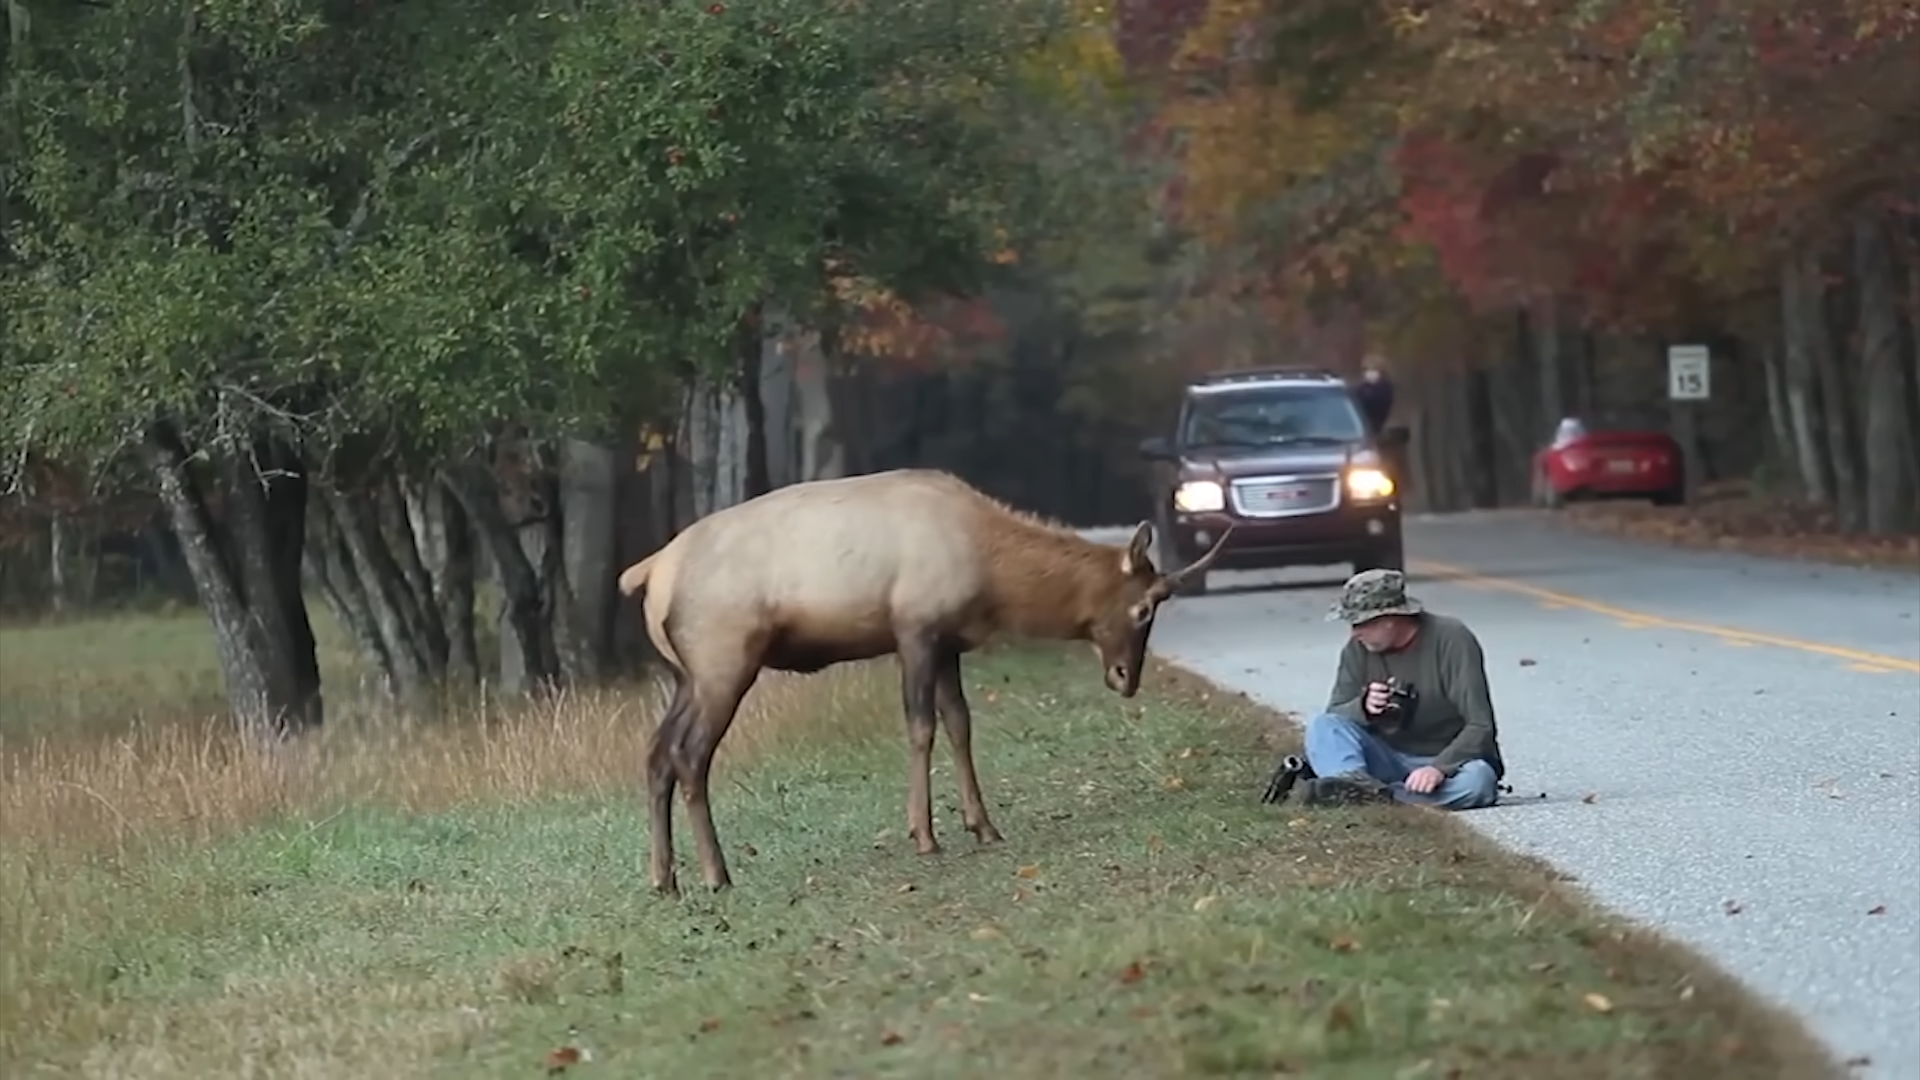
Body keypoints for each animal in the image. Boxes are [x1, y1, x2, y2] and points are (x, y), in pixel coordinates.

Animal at [615, 467, 1231, 894]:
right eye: (1144, 608)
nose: (1125, 677)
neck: (994, 577)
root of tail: (648, 574)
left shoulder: (948, 643)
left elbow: (960, 723)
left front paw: (983, 825)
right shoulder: (914, 628)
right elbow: (920, 727)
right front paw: (925, 834)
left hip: (686, 674)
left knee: (656, 752)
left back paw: (664, 878)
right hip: (724, 660)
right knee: (690, 755)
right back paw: (716, 873)